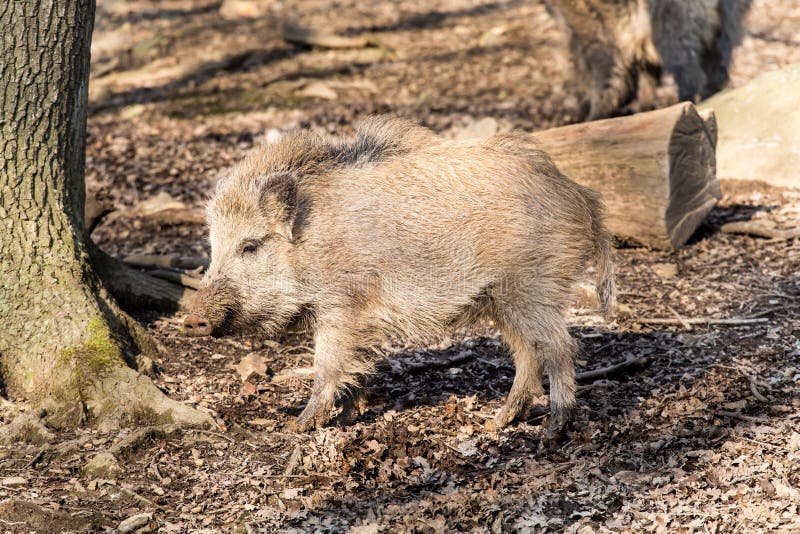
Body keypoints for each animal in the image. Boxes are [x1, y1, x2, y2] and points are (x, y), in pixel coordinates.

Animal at [183, 117, 615, 435]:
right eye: (213, 245)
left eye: (250, 245)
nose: (191, 318)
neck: (312, 242)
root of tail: (581, 196)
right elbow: (356, 365)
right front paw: (348, 417)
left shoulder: (342, 307)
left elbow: (328, 365)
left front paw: (296, 428)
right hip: (501, 299)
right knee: (527, 353)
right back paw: (497, 424)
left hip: (533, 286)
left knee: (560, 347)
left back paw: (554, 429)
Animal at [546, 0, 750, 119]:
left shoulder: (599, 35)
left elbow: (609, 71)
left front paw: (598, 112)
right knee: (714, 59)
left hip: (671, 15)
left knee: (684, 62)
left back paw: (687, 99)